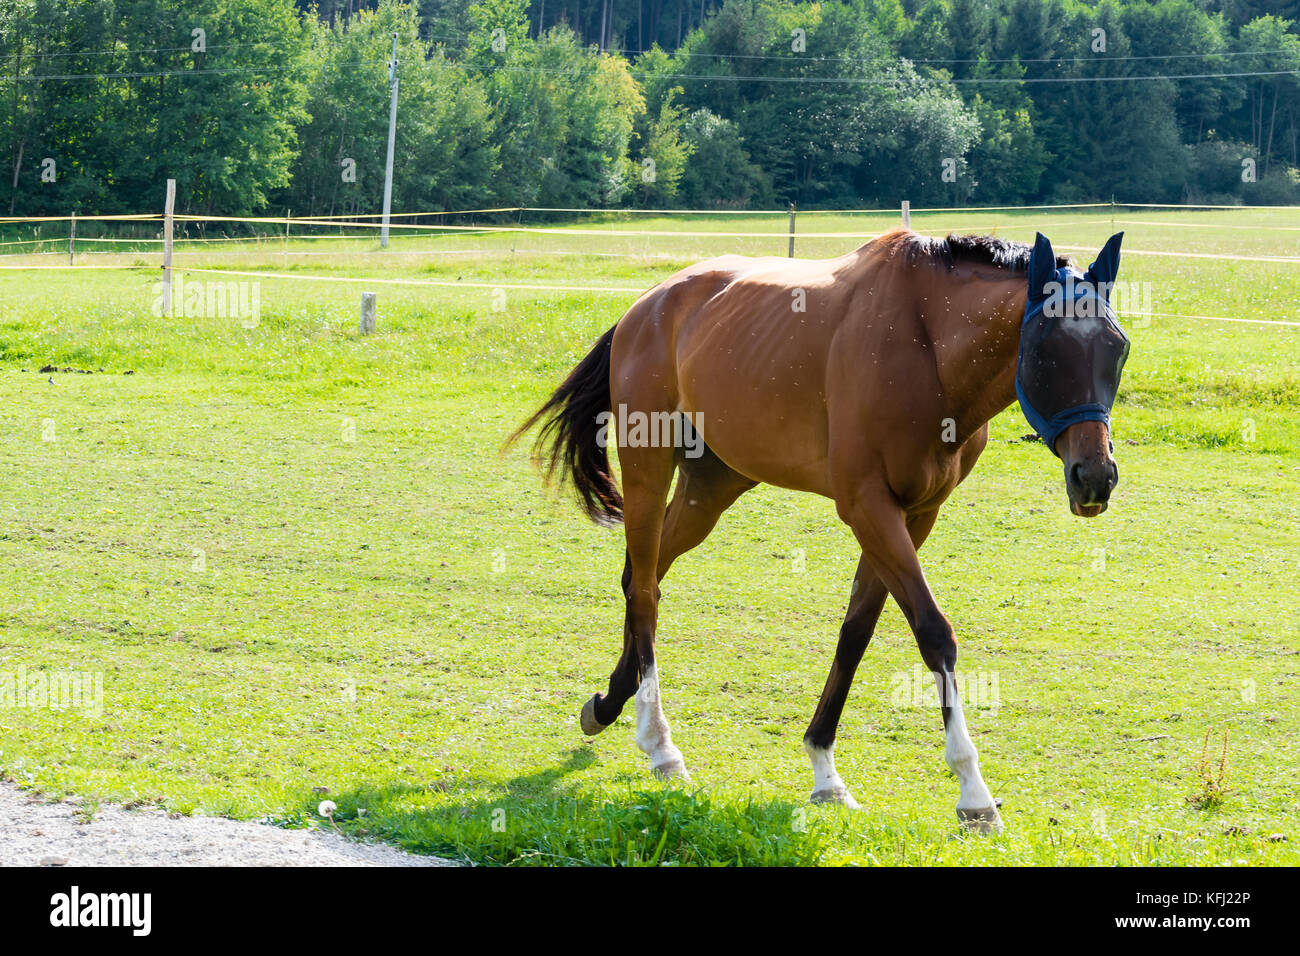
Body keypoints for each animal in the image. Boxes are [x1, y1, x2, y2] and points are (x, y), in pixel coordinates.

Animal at [511, 228, 1130, 833]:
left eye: (1118, 348)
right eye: (1046, 350)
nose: (1095, 476)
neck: (927, 348)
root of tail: (647, 305)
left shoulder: (915, 514)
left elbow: (856, 633)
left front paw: (825, 770)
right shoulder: (869, 508)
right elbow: (934, 633)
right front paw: (973, 792)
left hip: (711, 487)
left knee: (644, 577)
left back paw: (610, 702)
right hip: (648, 469)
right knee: (643, 588)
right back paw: (659, 744)